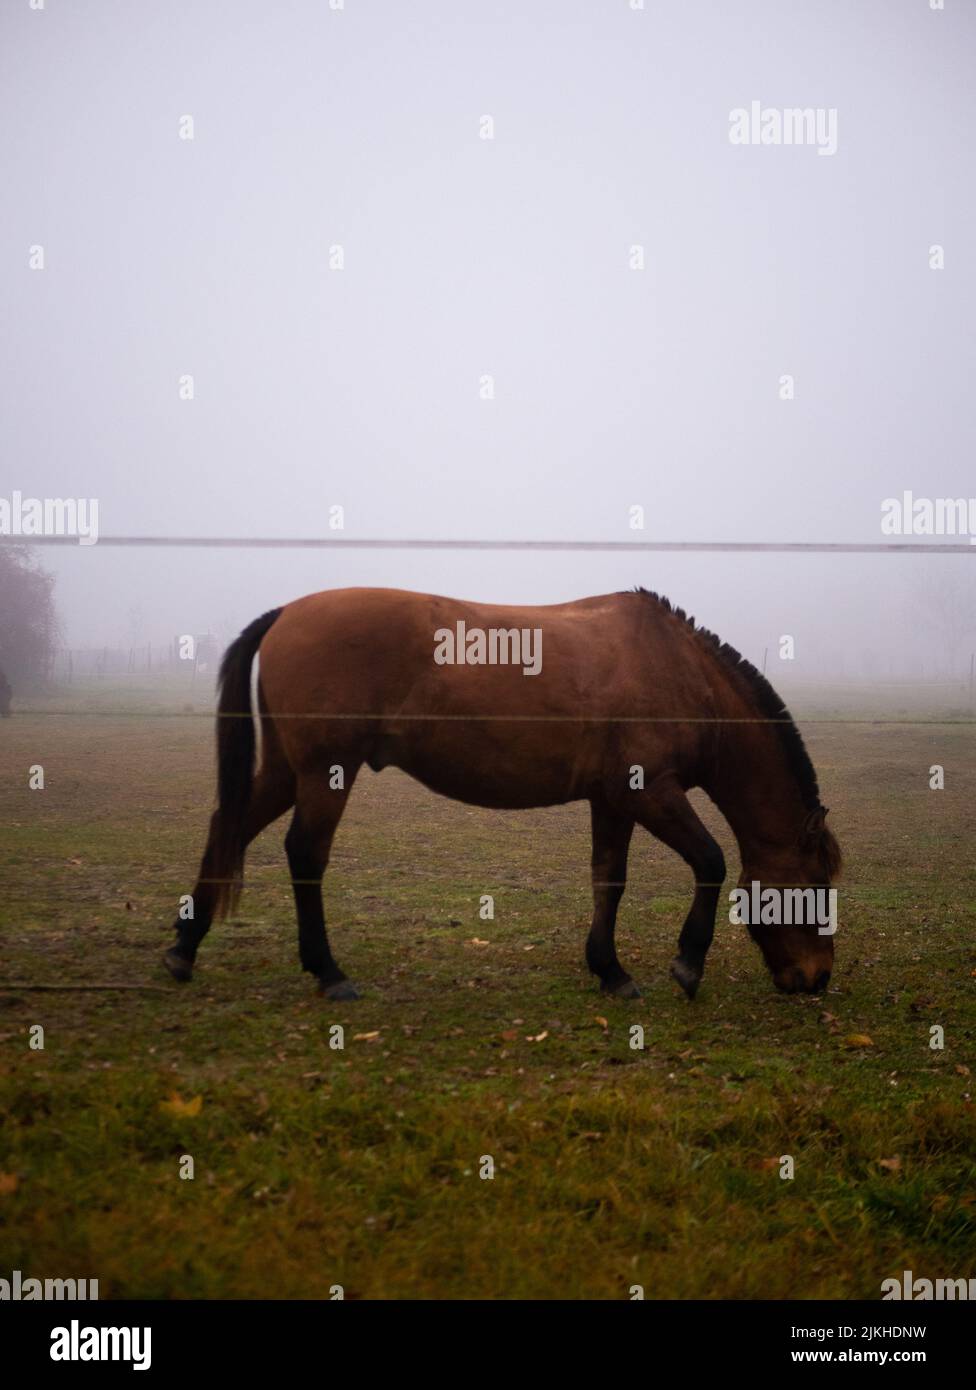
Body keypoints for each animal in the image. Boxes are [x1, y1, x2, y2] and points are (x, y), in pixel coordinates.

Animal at [164, 587, 841, 1001]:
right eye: (815, 884)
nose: (816, 978)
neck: (676, 669)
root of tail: (287, 612)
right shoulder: (650, 791)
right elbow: (711, 861)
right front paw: (687, 964)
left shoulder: (614, 800)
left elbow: (609, 879)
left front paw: (610, 970)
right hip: (326, 771)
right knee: (304, 855)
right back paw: (328, 972)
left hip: (288, 770)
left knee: (230, 826)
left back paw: (184, 948)